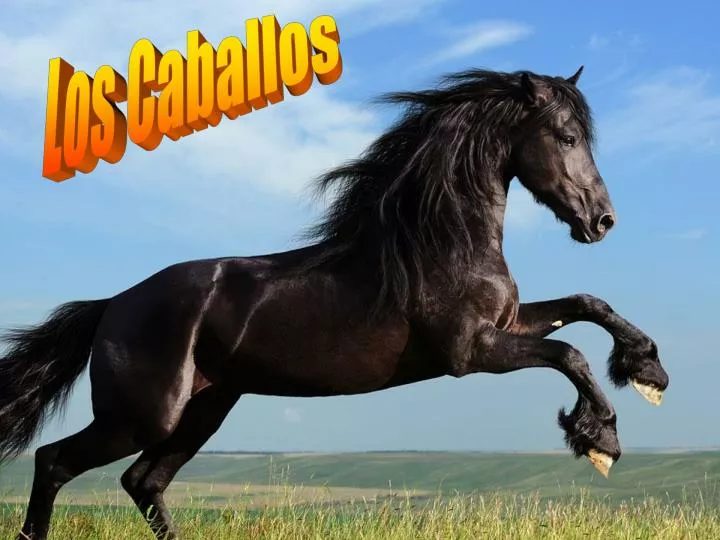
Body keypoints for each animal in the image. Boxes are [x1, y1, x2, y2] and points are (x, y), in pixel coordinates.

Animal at [0, 66, 669, 540]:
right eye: (567, 136)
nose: (602, 221)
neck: (439, 241)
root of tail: (114, 303)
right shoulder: (471, 351)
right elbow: (569, 352)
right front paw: (600, 439)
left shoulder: (506, 323)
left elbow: (587, 304)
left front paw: (648, 371)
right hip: (141, 416)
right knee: (55, 462)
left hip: (203, 410)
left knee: (143, 480)